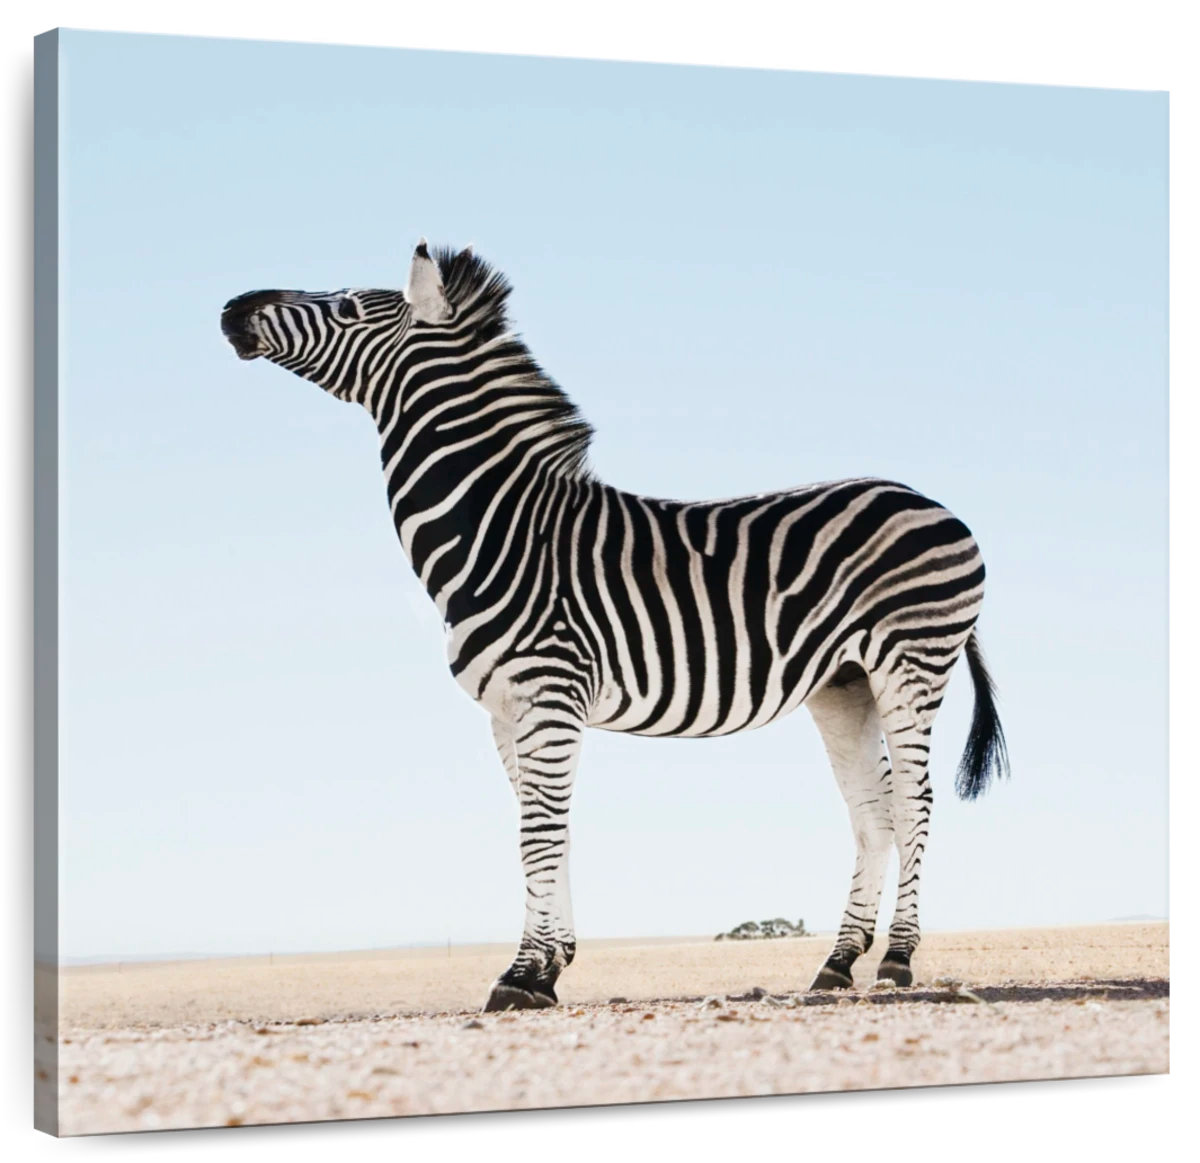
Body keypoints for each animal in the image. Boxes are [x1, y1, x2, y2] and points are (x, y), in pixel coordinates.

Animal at [221, 240, 1009, 1011]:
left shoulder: (549, 692)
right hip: (844, 685)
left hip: (909, 663)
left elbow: (537, 836)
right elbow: (549, 830)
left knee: (915, 802)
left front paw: (522, 975)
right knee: (873, 811)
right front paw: (551, 966)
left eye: (348, 307)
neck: (501, 528)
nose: (233, 306)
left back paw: (898, 961)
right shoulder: (509, 709)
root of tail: (934, 503)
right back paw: (838, 964)